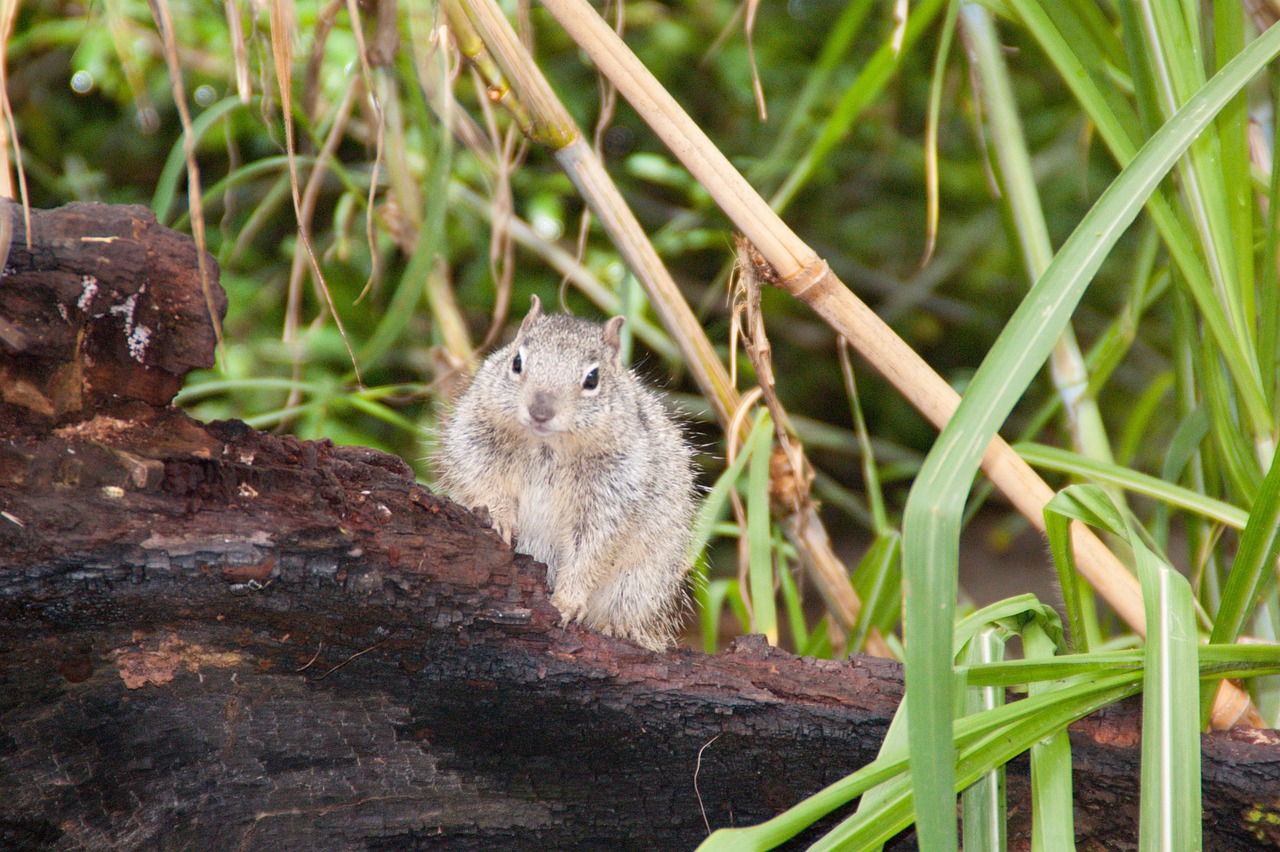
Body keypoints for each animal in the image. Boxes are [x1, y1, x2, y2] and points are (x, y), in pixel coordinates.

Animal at [435, 295, 697, 651]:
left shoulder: (612, 494)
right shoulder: (474, 440)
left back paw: (619, 629)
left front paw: (567, 601)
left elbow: (591, 551)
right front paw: (500, 516)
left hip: (643, 582)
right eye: (516, 361)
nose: (540, 411)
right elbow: (482, 482)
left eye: (592, 379)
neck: (548, 446)